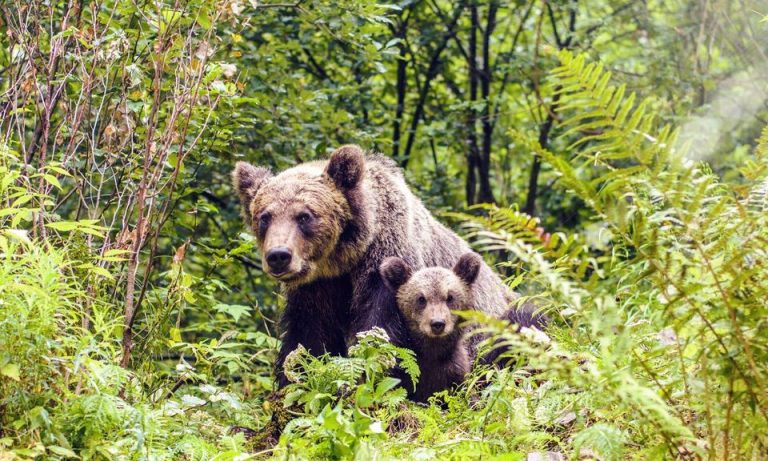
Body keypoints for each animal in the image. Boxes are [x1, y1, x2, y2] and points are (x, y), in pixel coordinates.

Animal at [232, 145, 512, 387]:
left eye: (304, 216)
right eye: (264, 217)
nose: (279, 256)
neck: (343, 262)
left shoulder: (385, 266)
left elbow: (378, 331)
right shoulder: (315, 288)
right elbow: (307, 338)